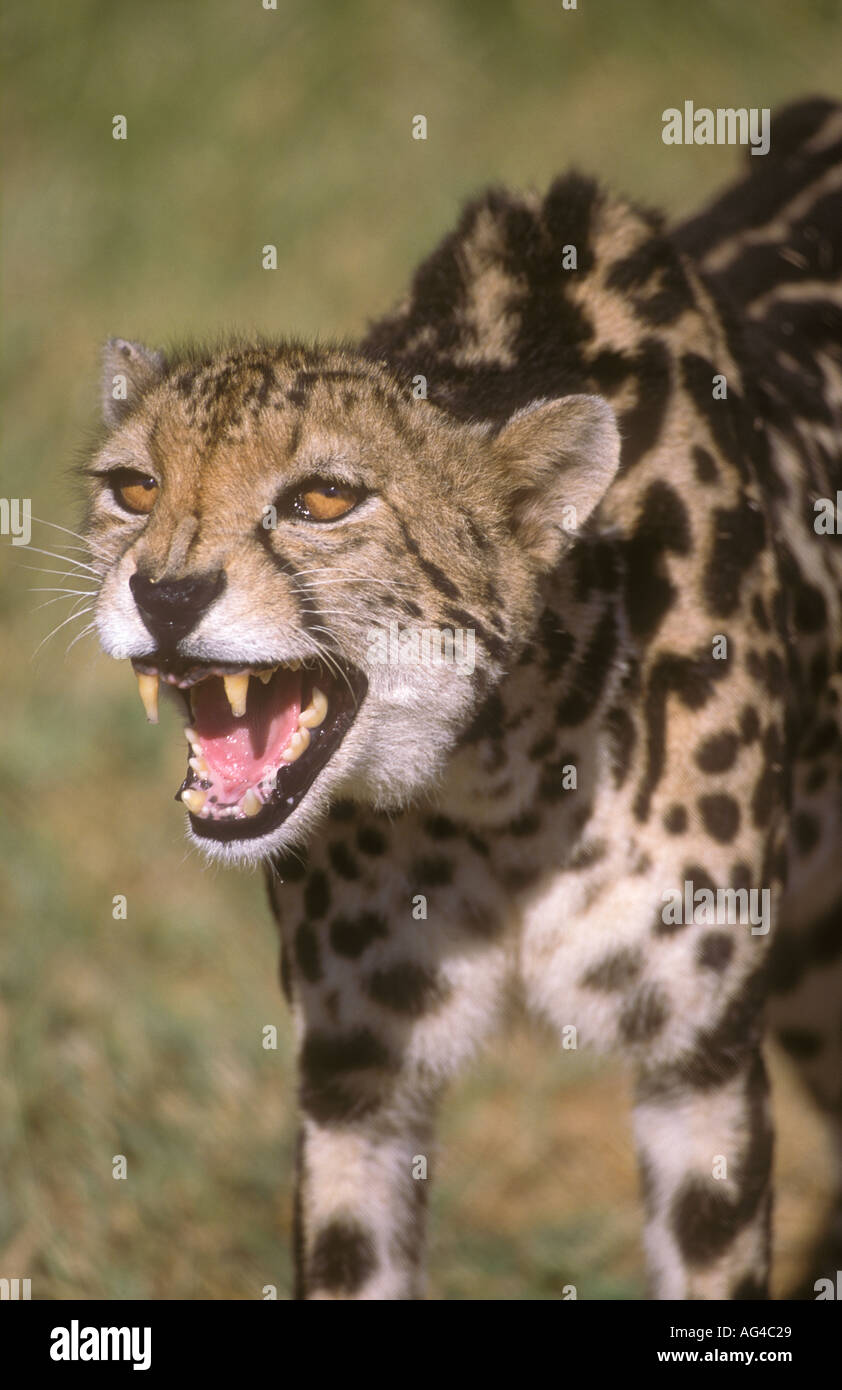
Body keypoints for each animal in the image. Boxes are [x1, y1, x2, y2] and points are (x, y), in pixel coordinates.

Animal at [80, 96, 842, 1300]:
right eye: (133, 488)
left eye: (324, 497)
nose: (164, 593)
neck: (501, 775)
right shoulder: (358, 1073)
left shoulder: (699, 1064)